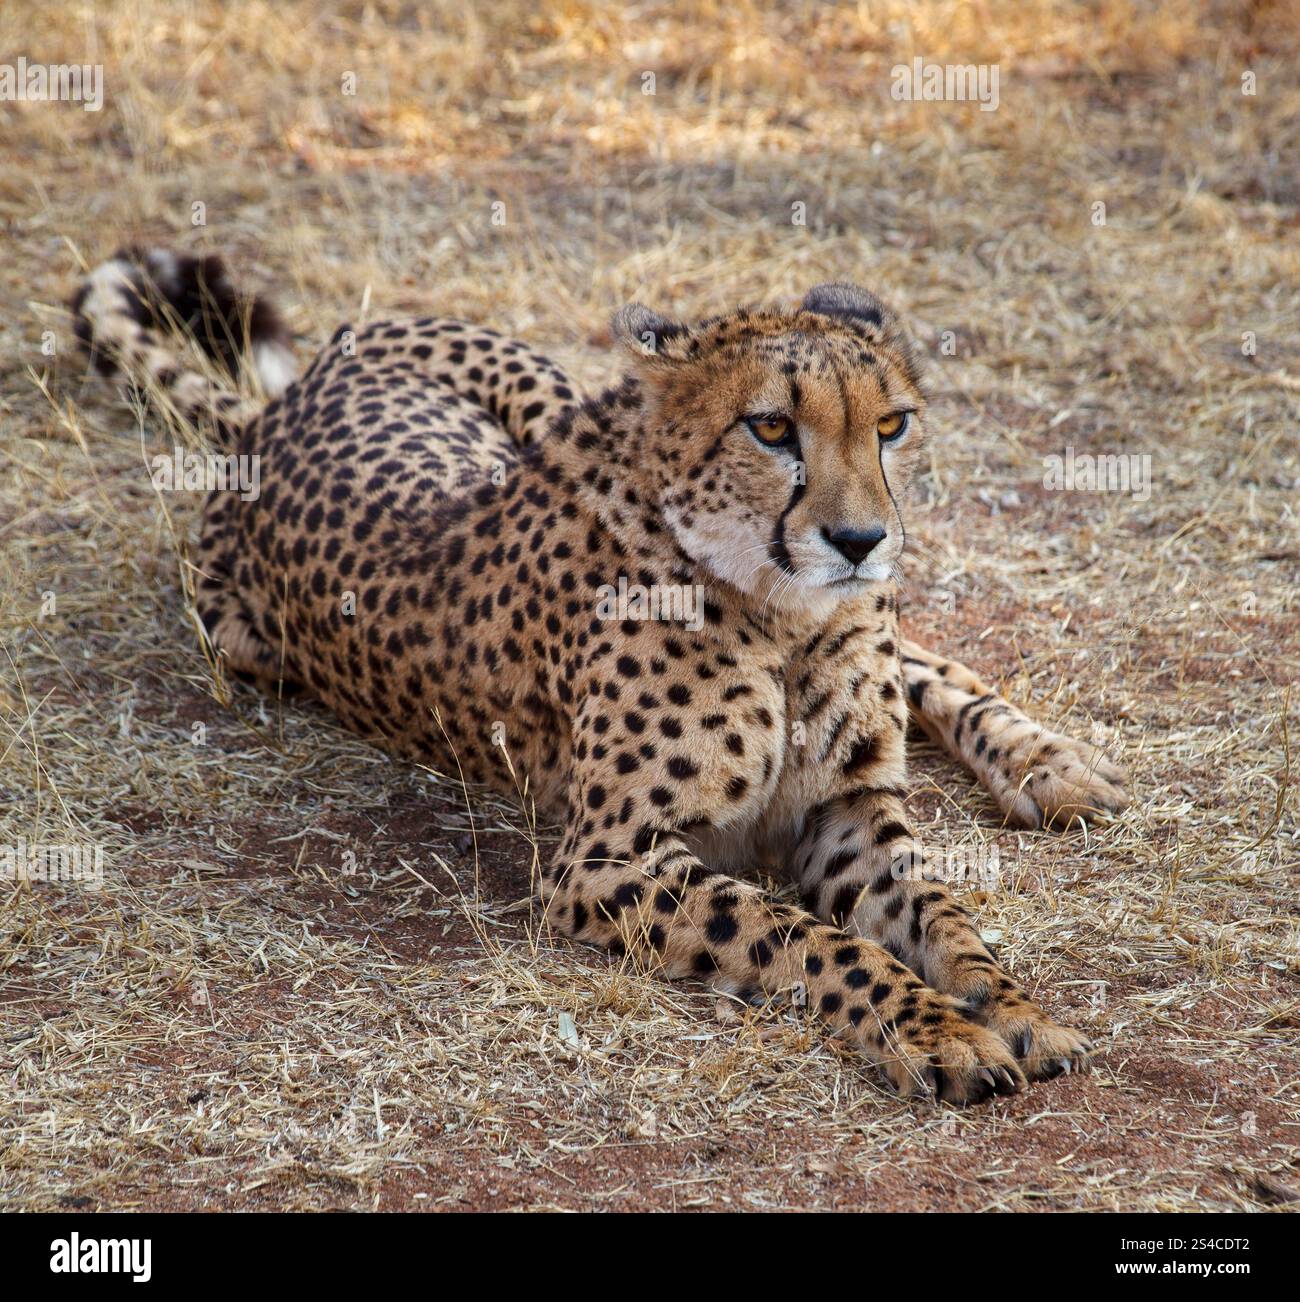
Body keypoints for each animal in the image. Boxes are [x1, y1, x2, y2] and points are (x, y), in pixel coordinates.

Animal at [70, 247, 1129, 1105]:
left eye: (893, 426)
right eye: (771, 428)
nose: (862, 540)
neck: (777, 612)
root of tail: (274, 413)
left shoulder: (851, 808)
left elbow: (945, 914)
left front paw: (1013, 1006)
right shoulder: (608, 861)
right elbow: (814, 940)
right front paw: (937, 1030)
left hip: (550, 405)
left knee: (924, 658)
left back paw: (1052, 764)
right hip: (239, 636)